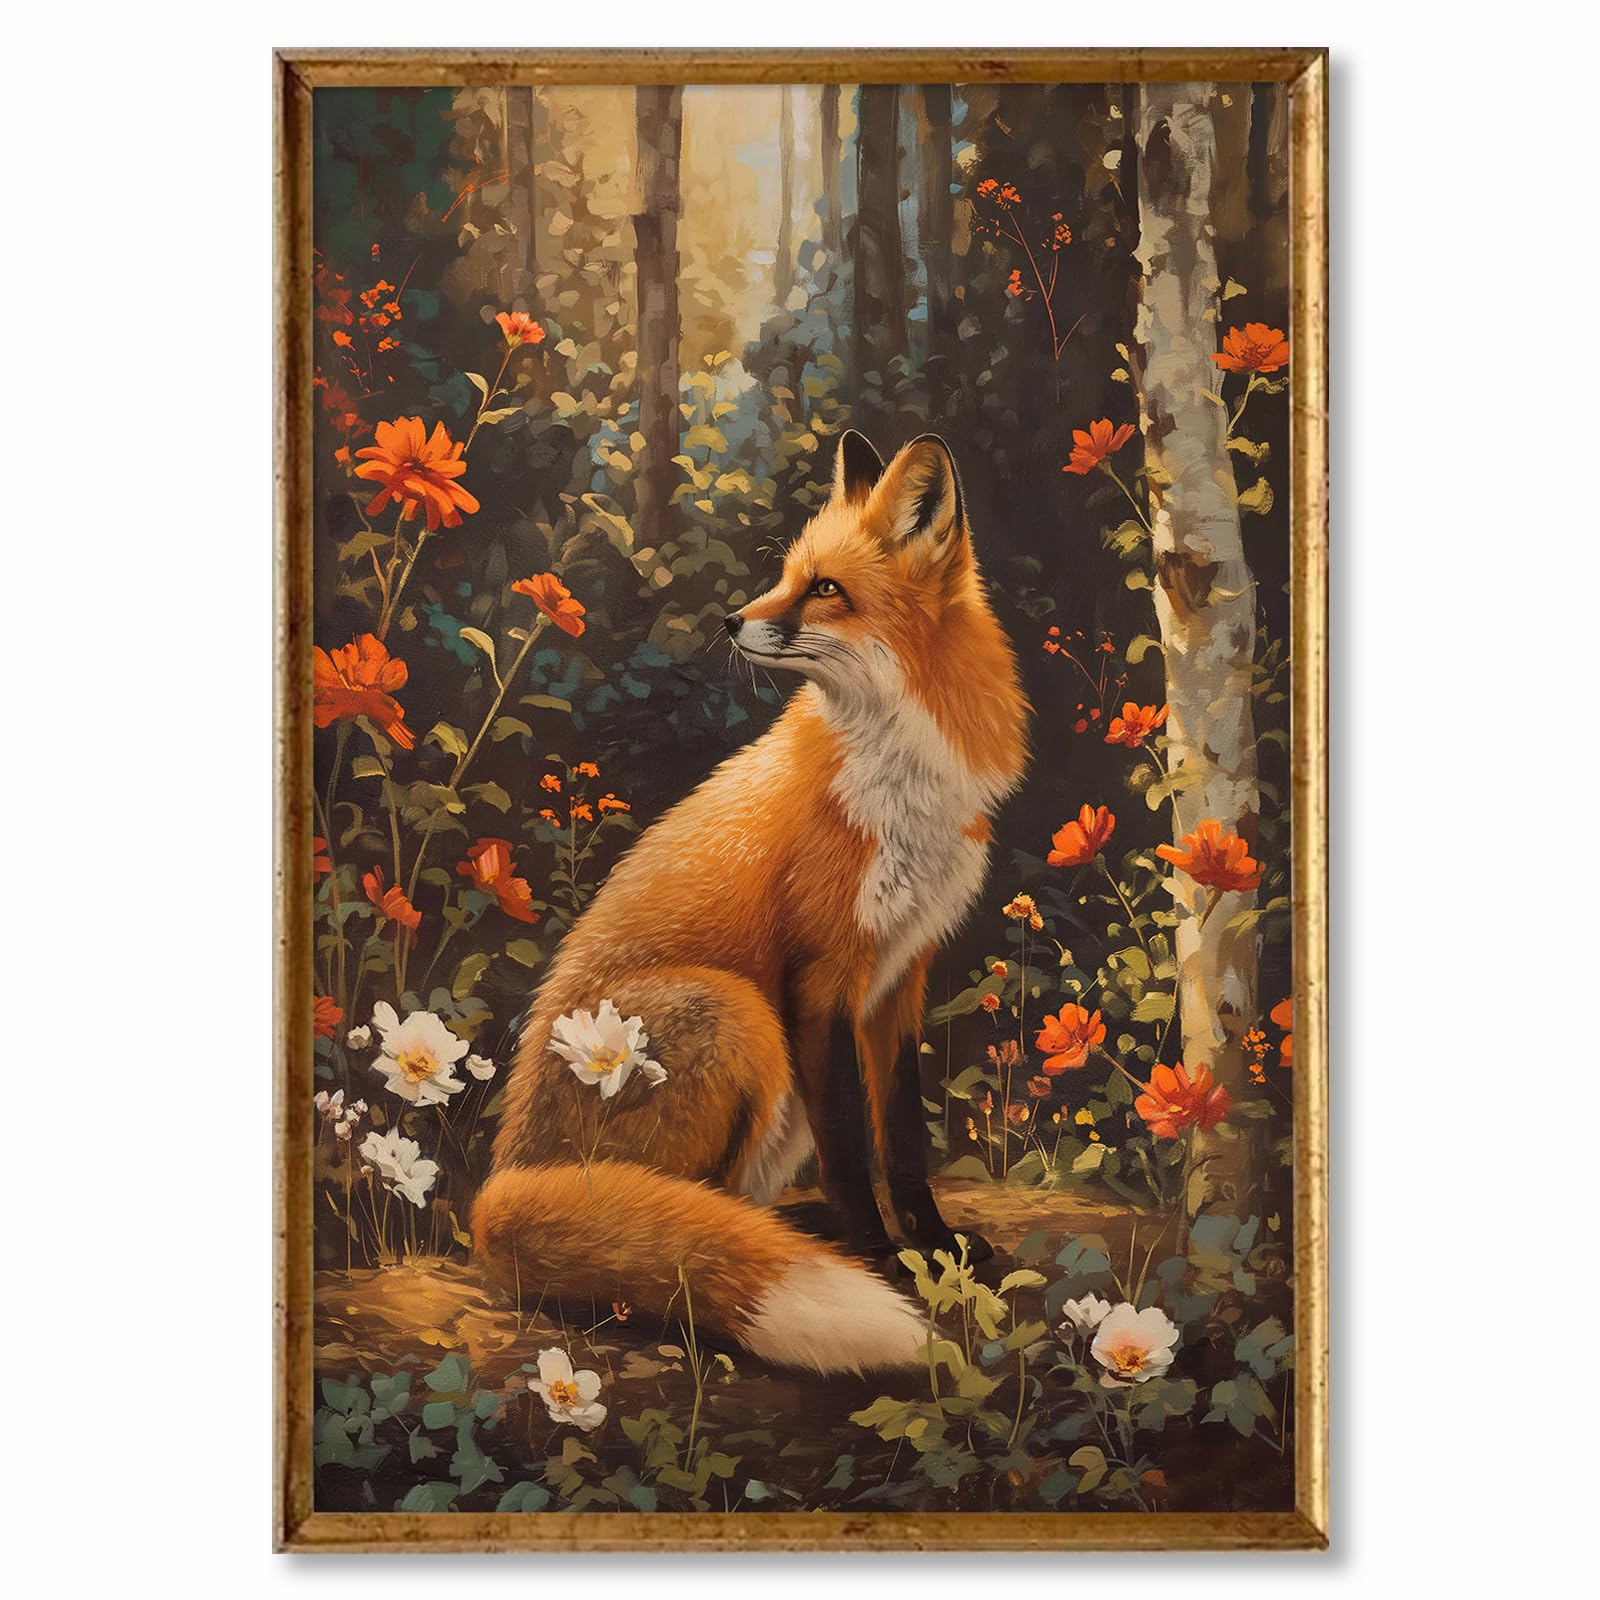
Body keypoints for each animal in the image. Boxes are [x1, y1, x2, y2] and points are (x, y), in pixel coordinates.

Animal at [472, 431, 1028, 1375]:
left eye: (825, 587)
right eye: (787, 575)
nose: (732, 622)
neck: (898, 776)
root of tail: (504, 1180)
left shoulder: (900, 976)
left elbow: (901, 1140)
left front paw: (931, 1242)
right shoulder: (822, 977)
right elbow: (852, 1149)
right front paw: (878, 1253)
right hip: (739, 1014)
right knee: (691, 1204)